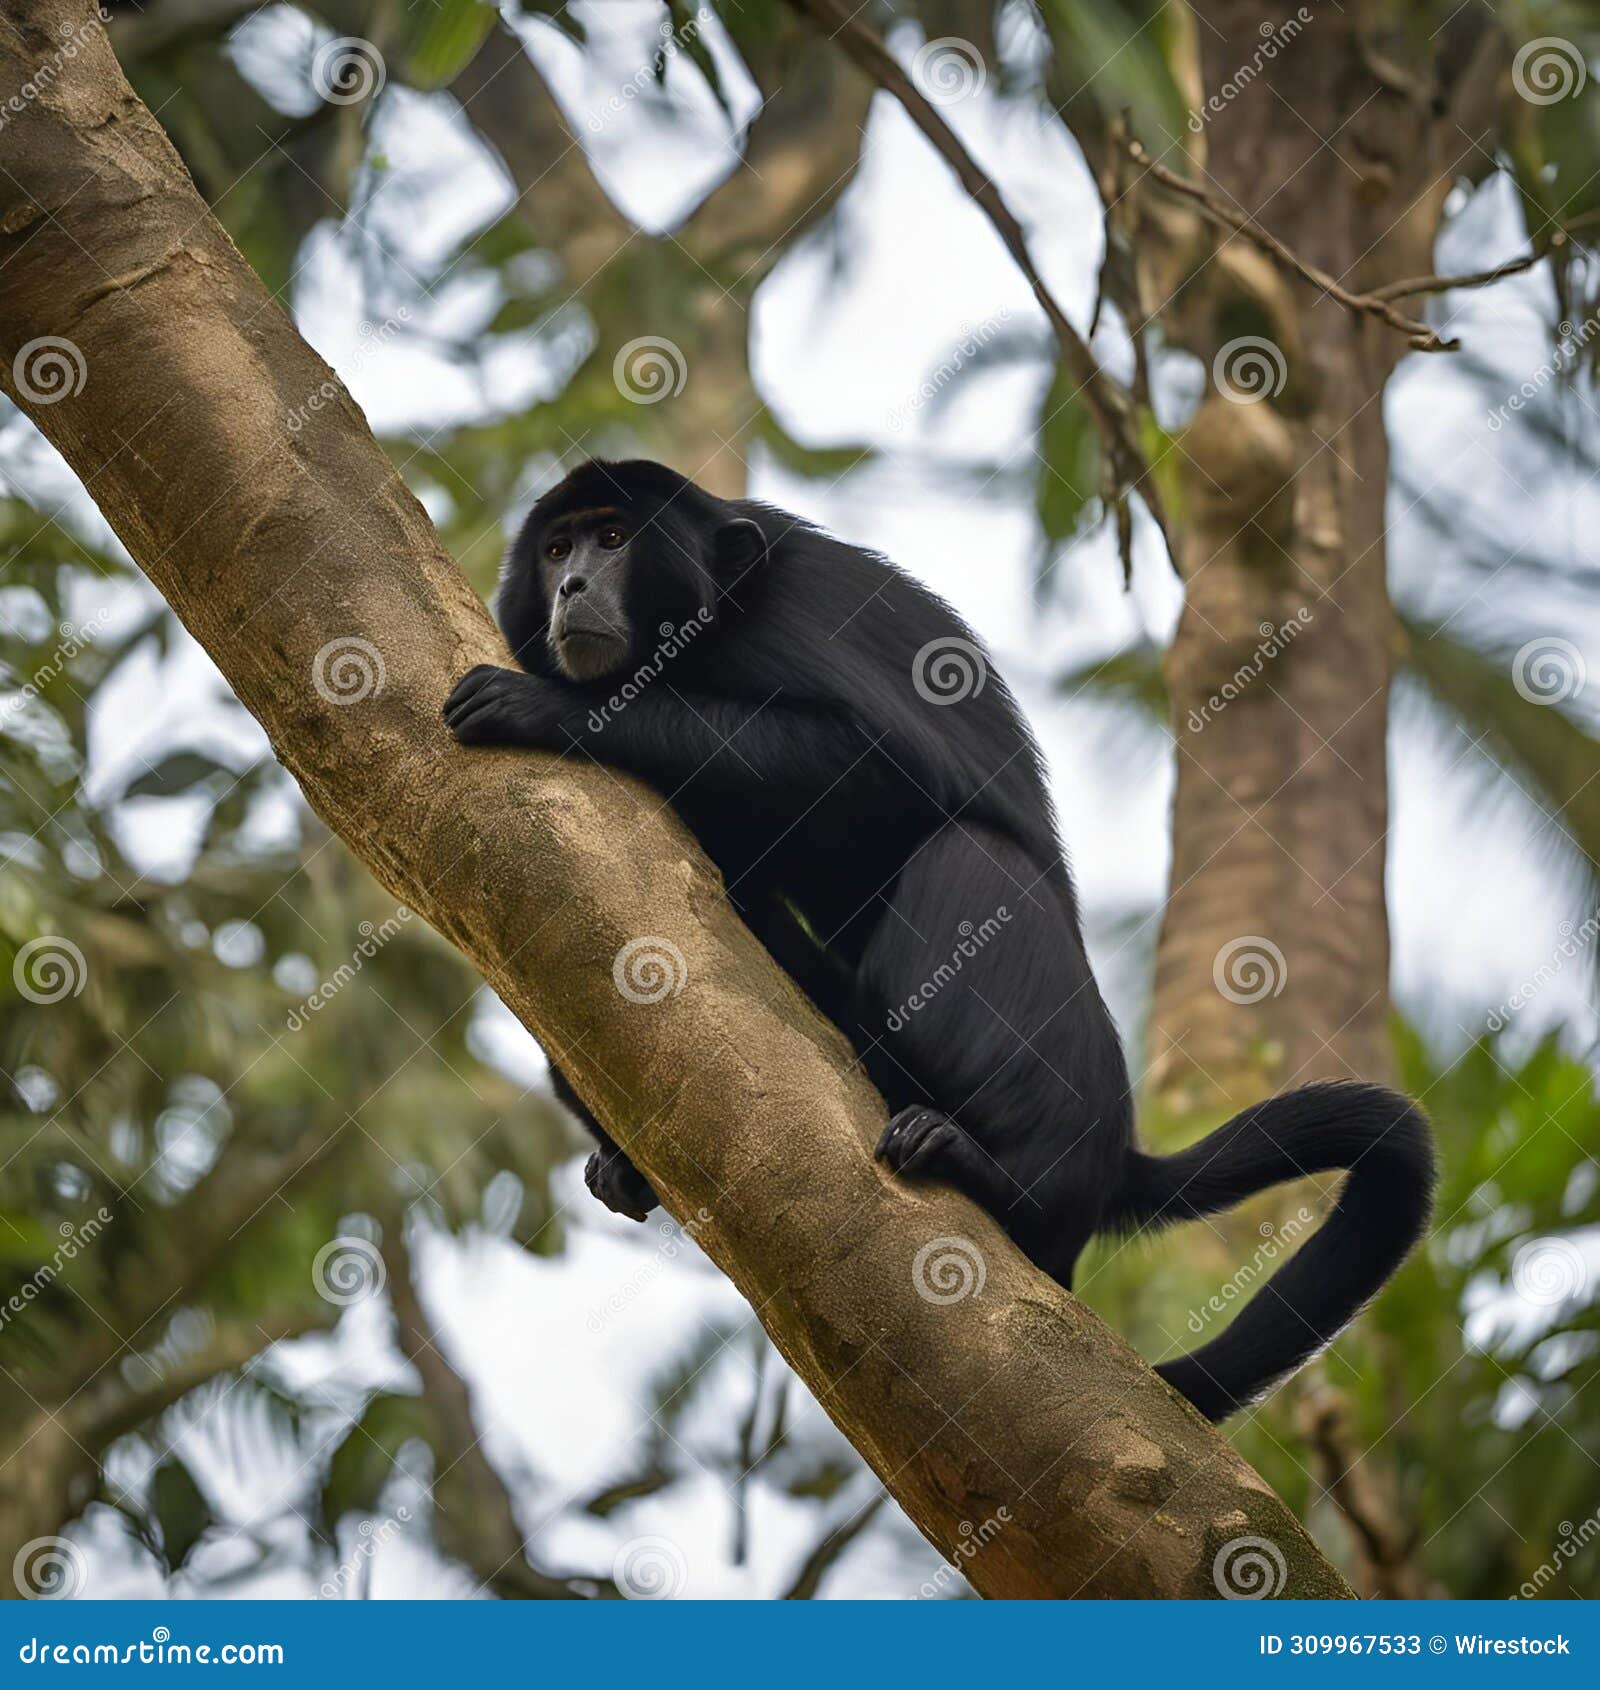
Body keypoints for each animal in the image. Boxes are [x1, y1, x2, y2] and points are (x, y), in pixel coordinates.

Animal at [444, 457, 1436, 1422]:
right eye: (557, 549)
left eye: (614, 538)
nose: (573, 584)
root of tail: (1110, 1151)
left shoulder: (795, 616)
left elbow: (873, 770)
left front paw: (549, 708)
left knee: (972, 858)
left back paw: (996, 1178)